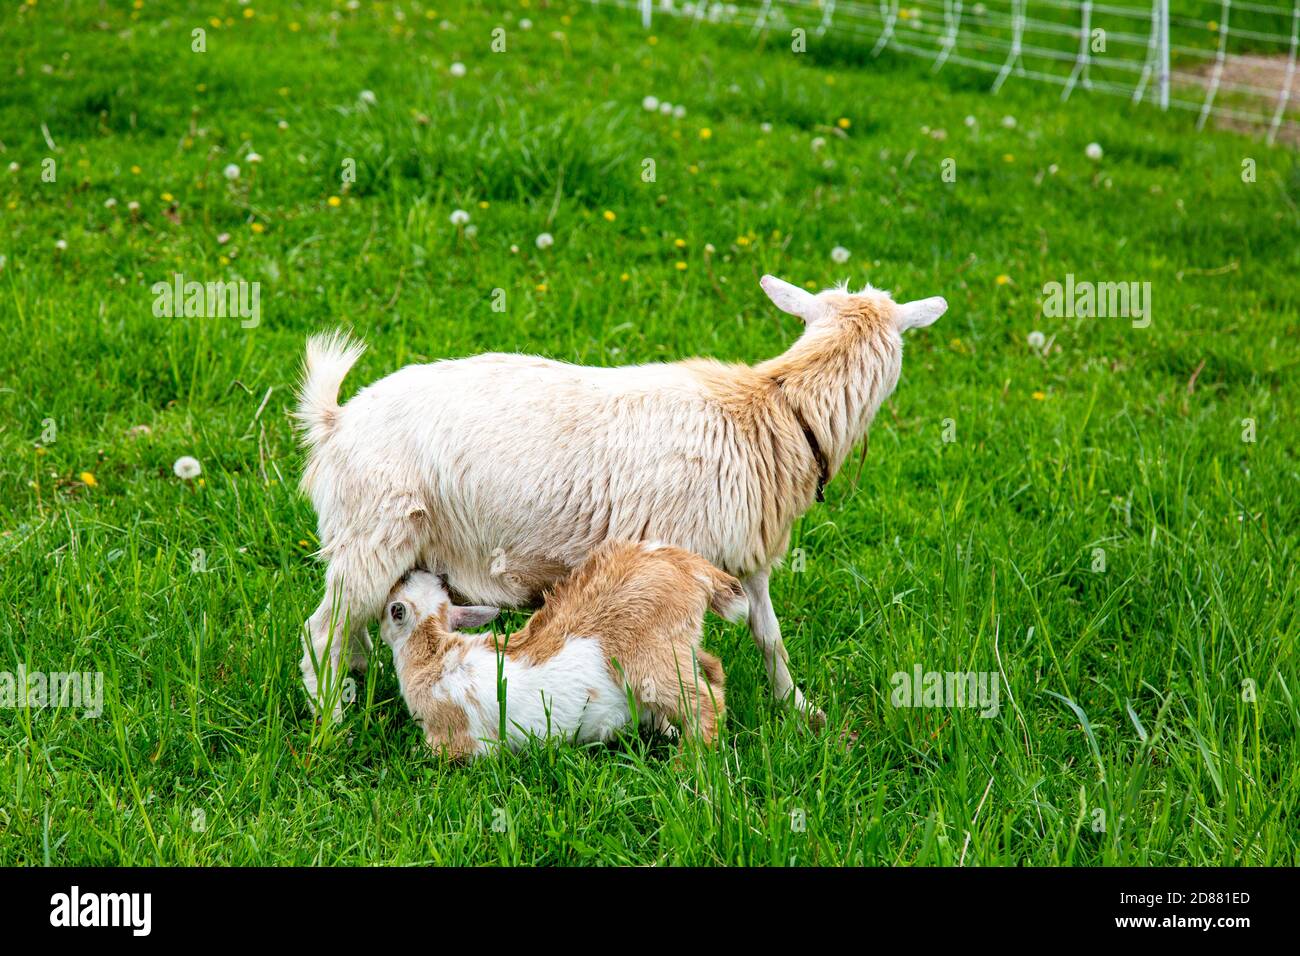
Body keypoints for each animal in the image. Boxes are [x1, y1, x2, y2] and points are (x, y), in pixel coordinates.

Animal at [296, 274, 945, 722]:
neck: (775, 409)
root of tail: (335, 421)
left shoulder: (750, 555)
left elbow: (770, 635)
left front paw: (798, 707)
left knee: (351, 629)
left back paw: (354, 686)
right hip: (374, 532)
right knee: (321, 632)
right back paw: (332, 723)